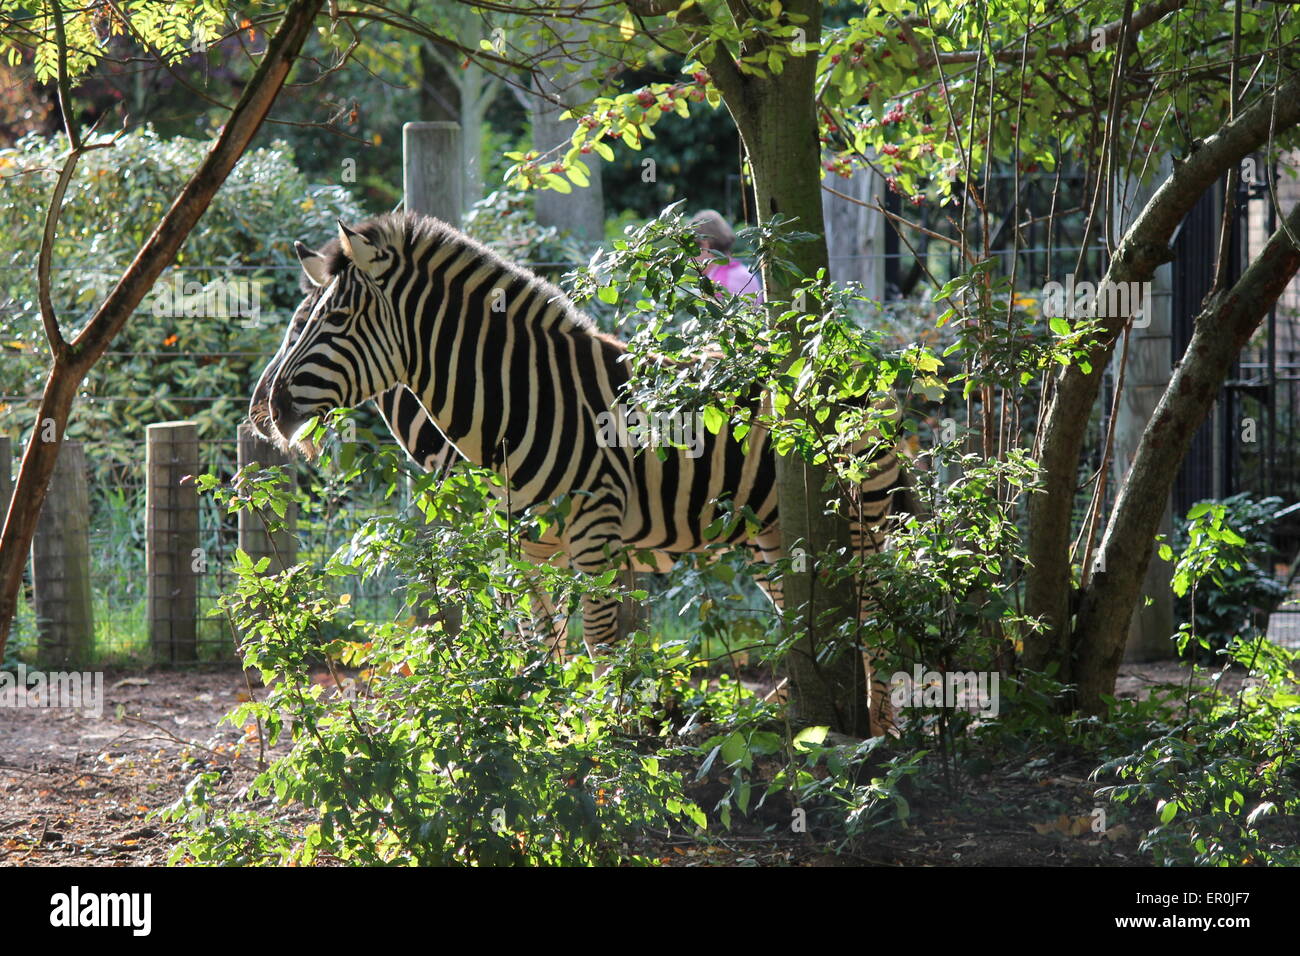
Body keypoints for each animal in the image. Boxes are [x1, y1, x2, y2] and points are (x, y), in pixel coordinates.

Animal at [249, 212, 903, 735]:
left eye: (332, 319)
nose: (268, 412)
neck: (513, 404)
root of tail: (846, 355)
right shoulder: (522, 546)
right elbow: (540, 643)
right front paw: (549, 730)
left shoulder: (594, 532)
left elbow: (600, 643)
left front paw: (616, 747)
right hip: (771, 533)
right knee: (803, 616)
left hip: (863, 517)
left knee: (877, 619)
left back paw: (883, 736)